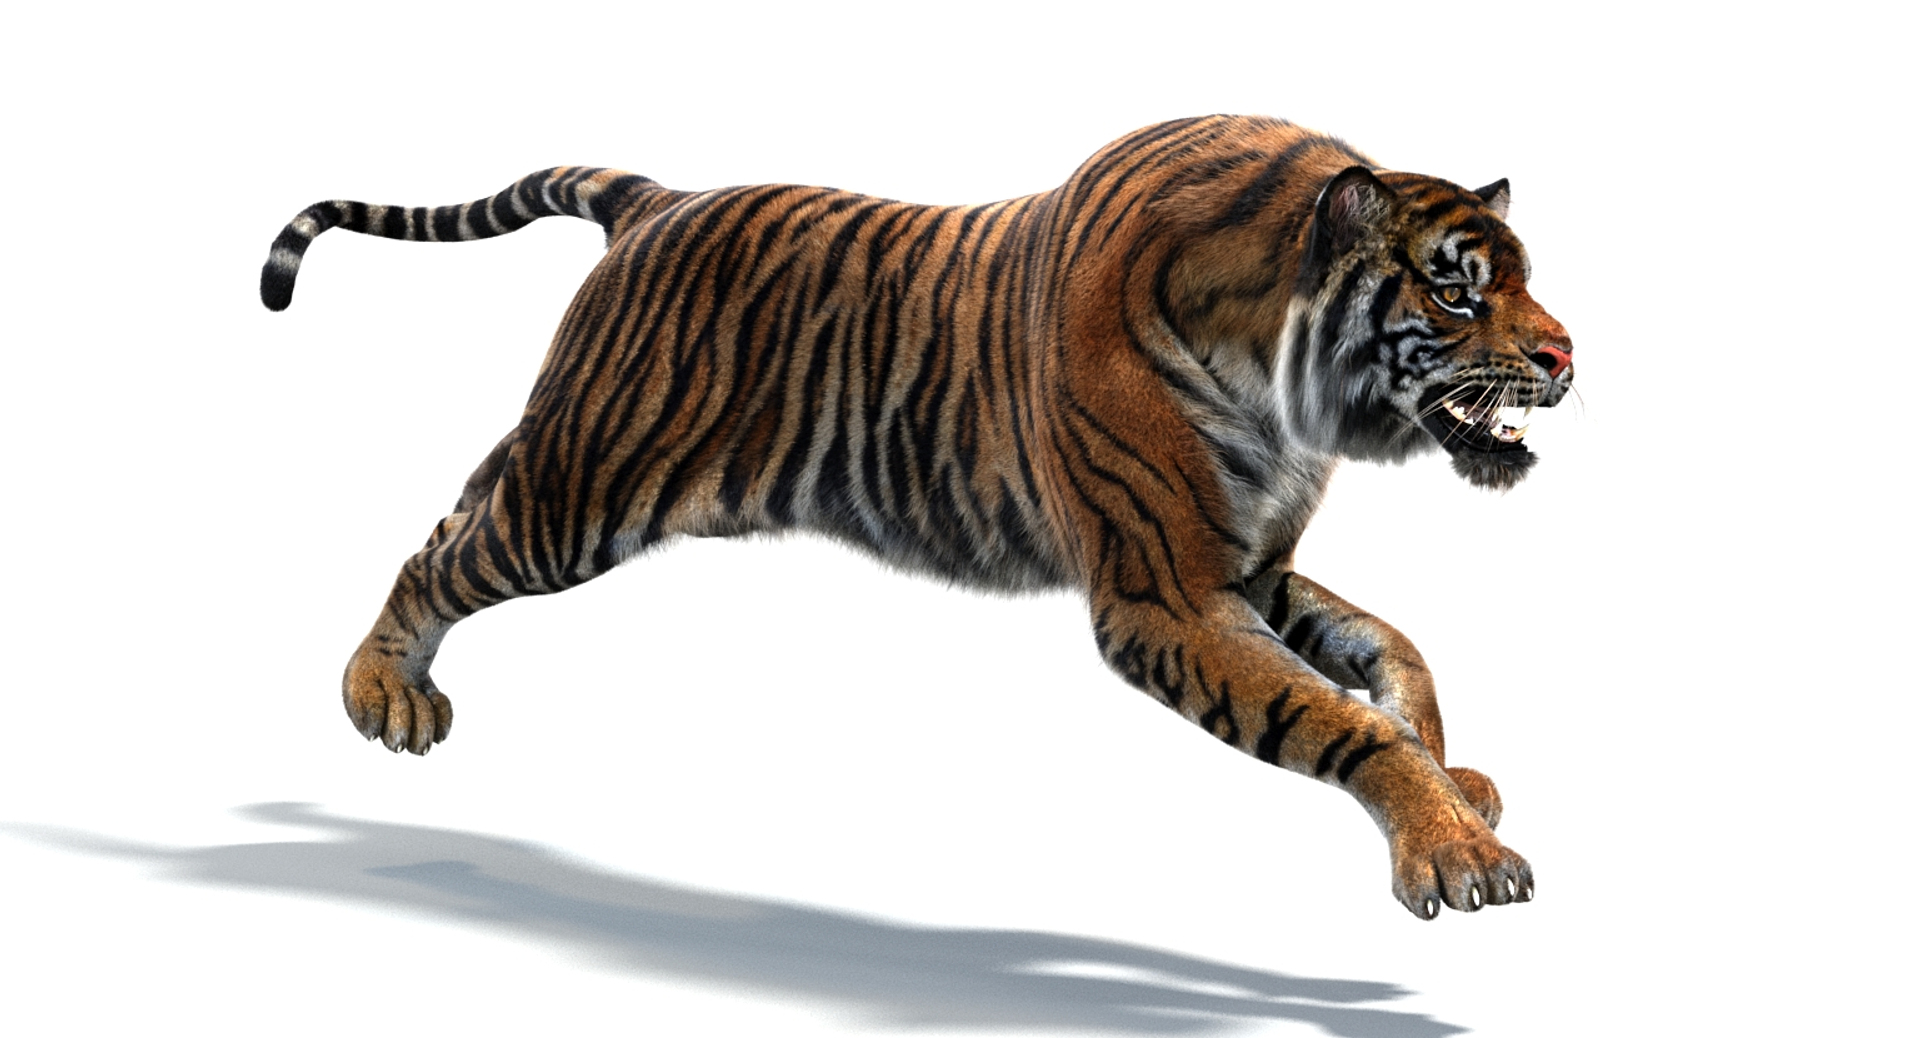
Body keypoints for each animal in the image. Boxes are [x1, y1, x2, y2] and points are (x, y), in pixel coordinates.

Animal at [261, 114, 1573, 919]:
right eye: (1459, 291)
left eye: (1521, 276)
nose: (1568, 356)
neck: (1288, 389)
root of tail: (658, 199)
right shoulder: (1163, 594)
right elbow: (1339, 722)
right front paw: (1455, 849)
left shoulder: (1245, 569)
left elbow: (1394, 651)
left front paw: (1459, 781)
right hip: (576, 490)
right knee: (439, 550)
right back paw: (383, 693)